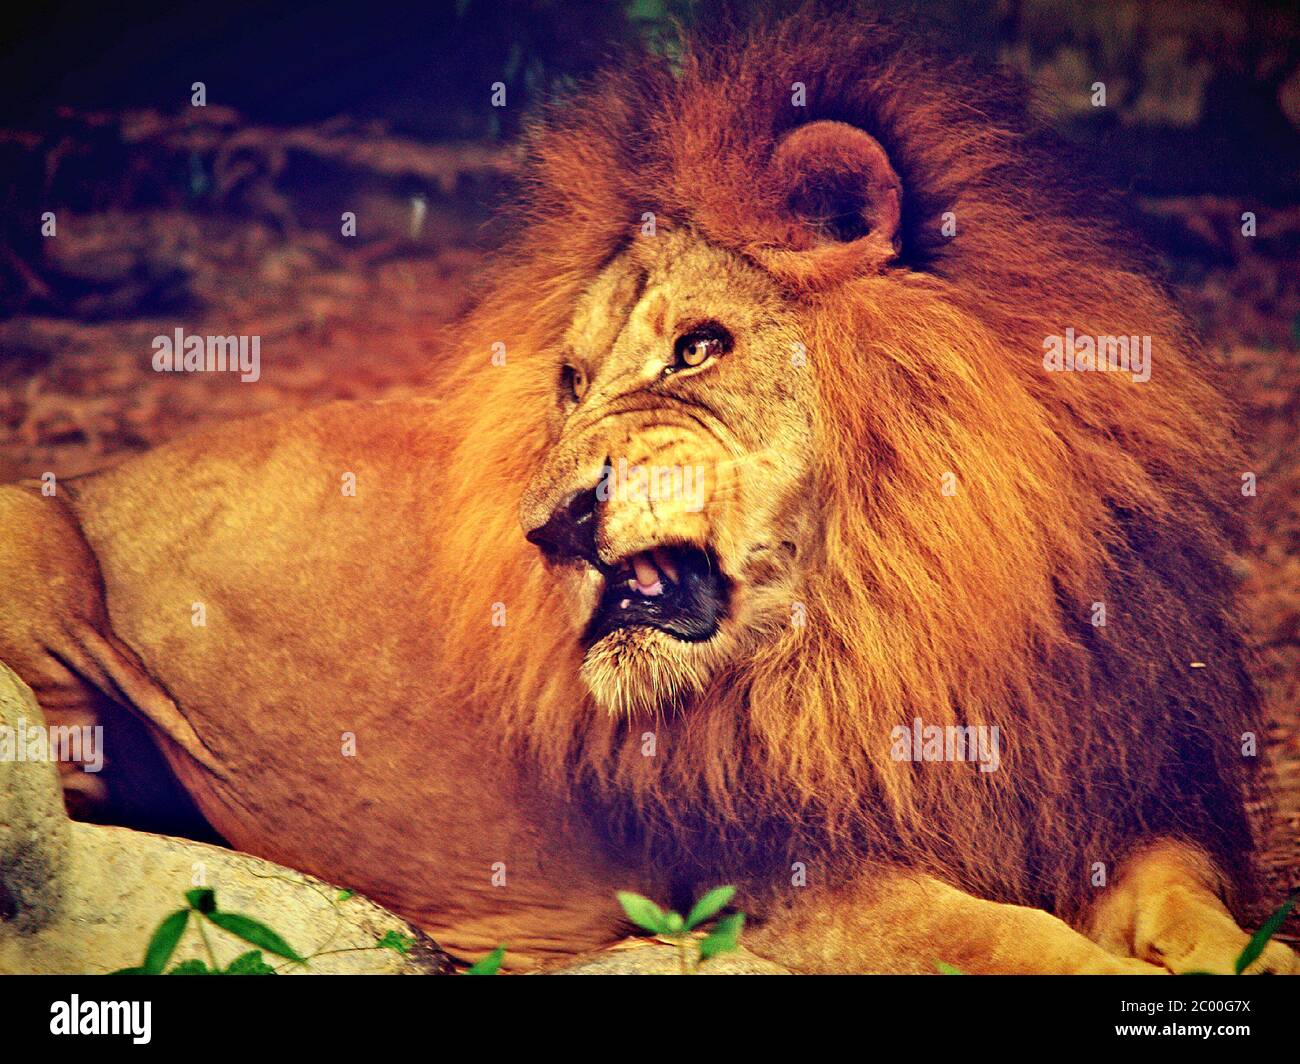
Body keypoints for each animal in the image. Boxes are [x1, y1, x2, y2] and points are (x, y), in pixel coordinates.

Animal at [0, 11, 1295, 974]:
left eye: (697, 348)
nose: (548, 524)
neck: (902, 599)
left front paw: (1254, 953)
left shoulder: (1110, 777)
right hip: (37, 542)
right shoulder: (780, 876)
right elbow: (1011, 937)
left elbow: (1185, 902)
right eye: (572, 382)